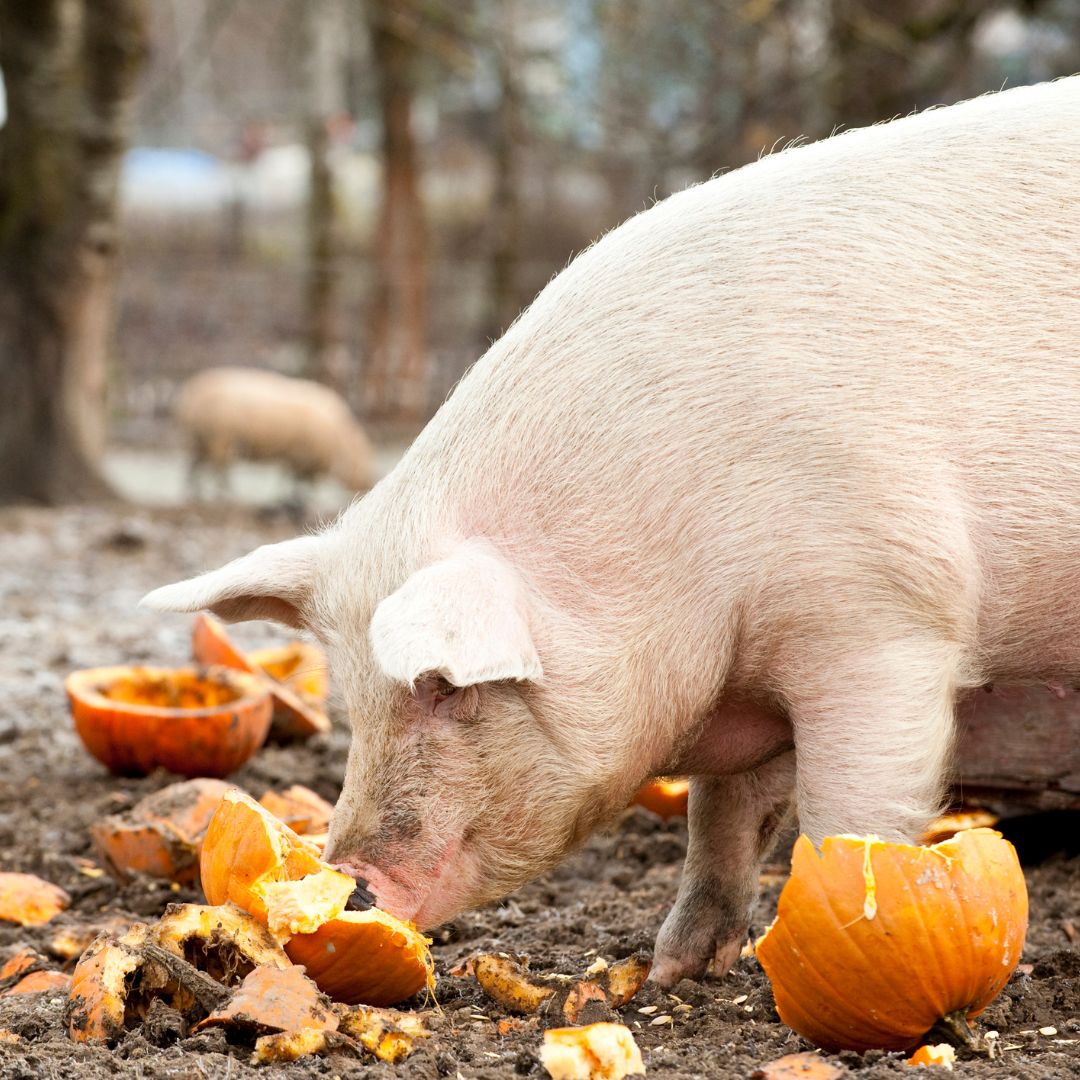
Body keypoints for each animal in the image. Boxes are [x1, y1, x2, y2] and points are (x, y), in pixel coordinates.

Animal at [143, 78, 1080, 987]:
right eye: (351, 693)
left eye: (444, 687)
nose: (356, 885)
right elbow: (723, 814)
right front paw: (676, 969)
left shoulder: (881, 616)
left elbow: (848, 817)